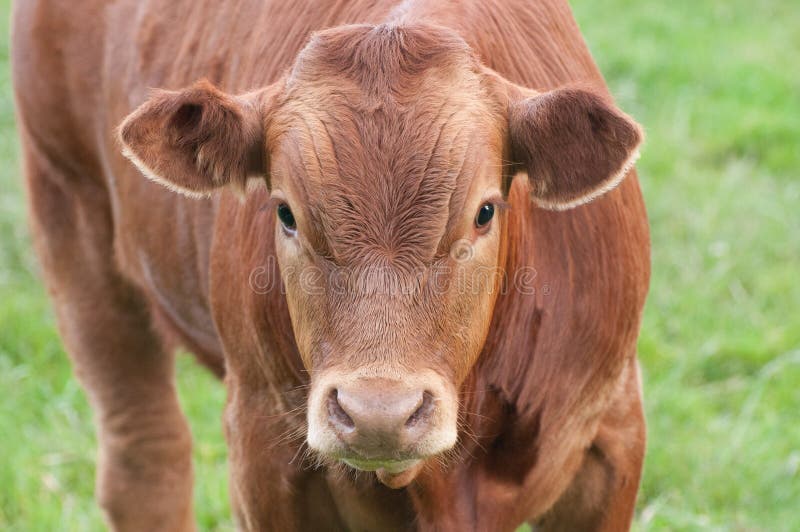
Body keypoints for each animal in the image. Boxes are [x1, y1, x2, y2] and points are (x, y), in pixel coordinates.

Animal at [12, 0, 650, 530]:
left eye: (485, 212)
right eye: (286, 213)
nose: (378, 415)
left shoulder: (612, 432)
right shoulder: (261, 450)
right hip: (69, 208)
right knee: (145, 458)